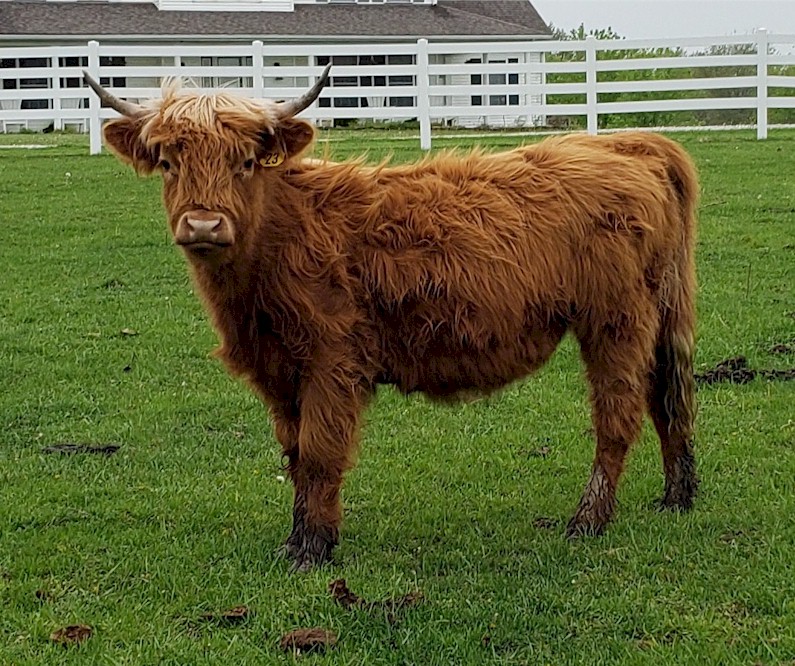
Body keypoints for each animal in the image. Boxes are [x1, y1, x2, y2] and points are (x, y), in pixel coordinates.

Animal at [84, 68, 699, 572]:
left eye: (247, 162)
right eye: (169, 162)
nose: (204, 225)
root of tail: (631, 145)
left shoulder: (332, 360)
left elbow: (319, 452)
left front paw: (313, 549)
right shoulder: (279, 368)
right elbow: (294, 452)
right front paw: (298, 538)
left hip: (614, 319)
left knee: (619, 414)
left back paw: (589, 519)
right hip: (658, 313)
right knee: (668, 396)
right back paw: (677, 496)